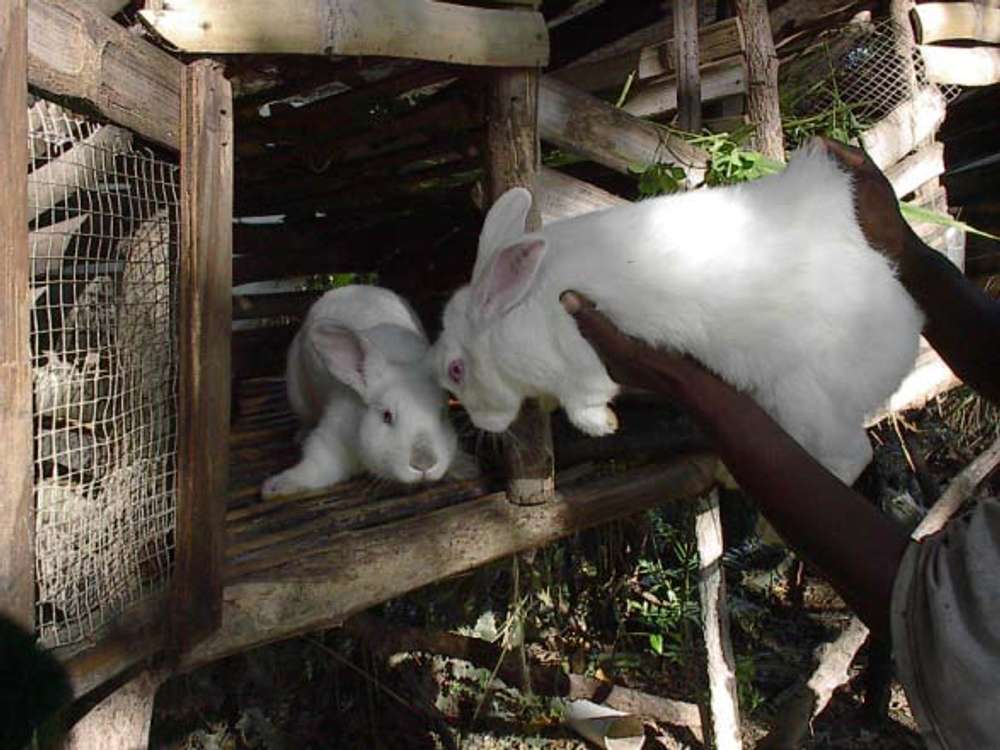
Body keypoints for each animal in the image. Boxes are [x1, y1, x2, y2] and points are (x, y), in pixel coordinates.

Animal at [261, 285, 459, 499]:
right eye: (387, 416)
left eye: (442, 414)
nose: (423, 464)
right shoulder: (331, 438)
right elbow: (315, 467)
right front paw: (275, 486)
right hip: (297, 394)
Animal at [431, 139, 924, 486]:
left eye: (456, 370)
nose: (482, 425)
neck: (514, 313)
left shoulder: (583, 364)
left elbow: (584, 405)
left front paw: (604, 426)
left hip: (807, 401)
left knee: (851, 455)